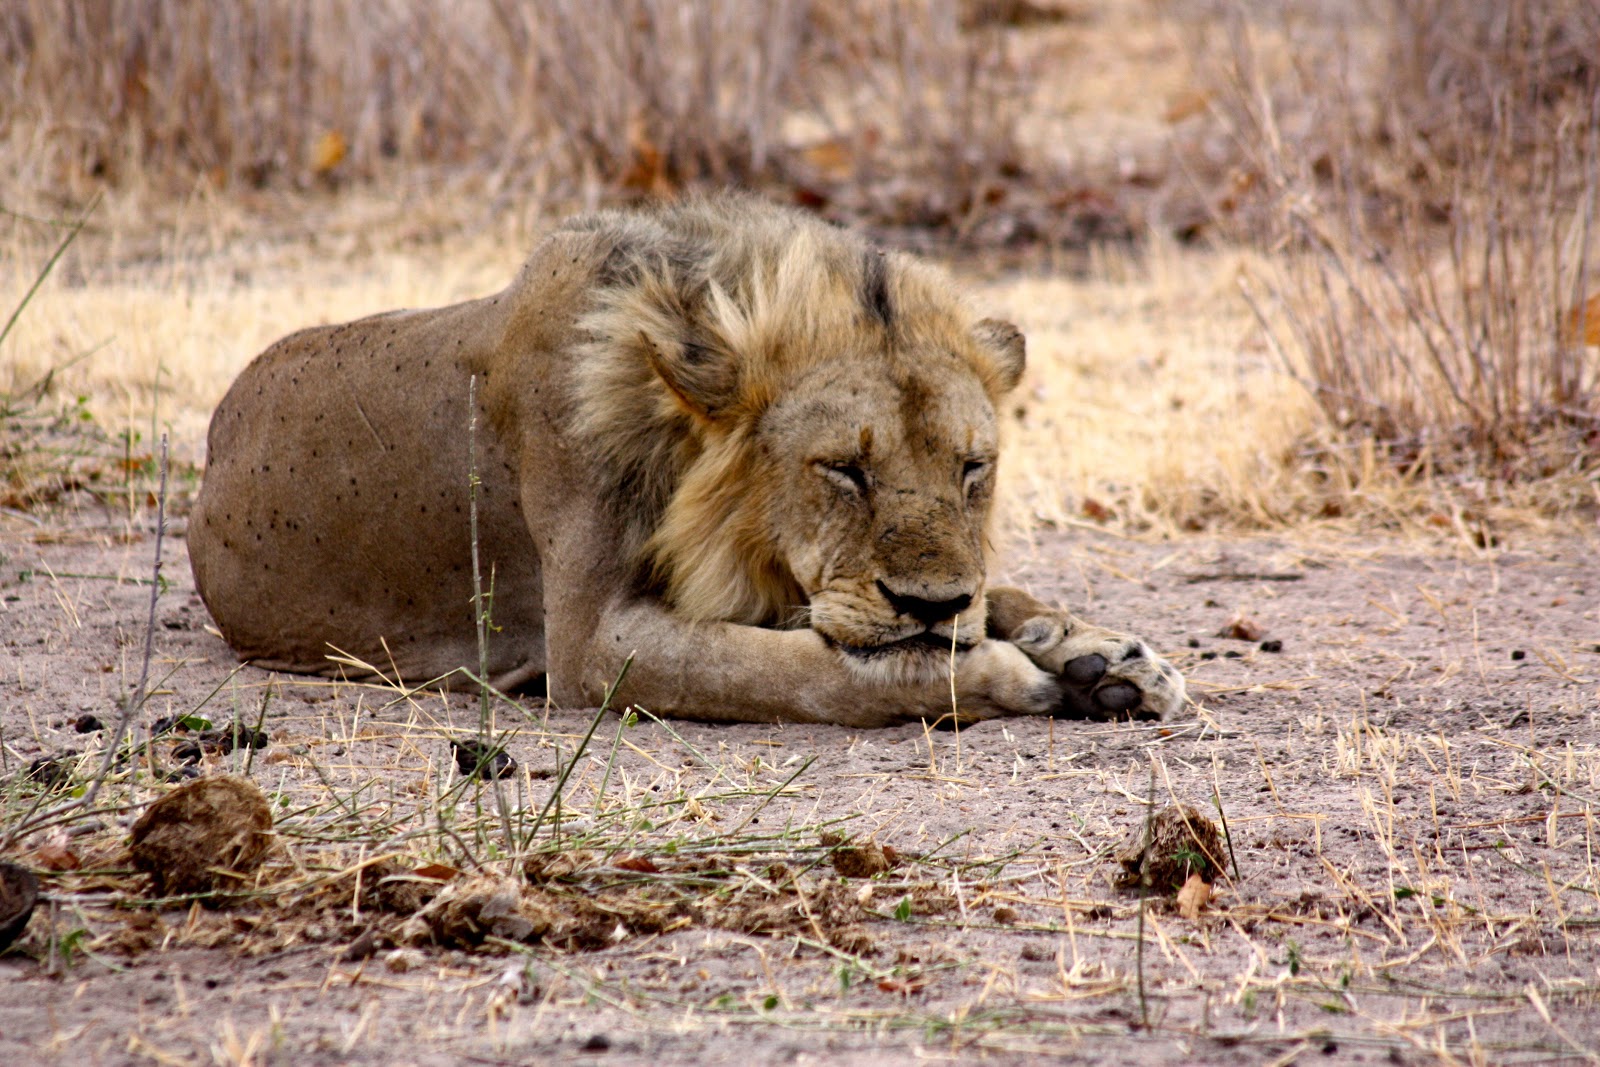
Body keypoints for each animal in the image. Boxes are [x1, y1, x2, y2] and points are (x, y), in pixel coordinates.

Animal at [188, 195, 1184, 727]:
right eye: (843, 470)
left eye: (973, 469)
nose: (932, 605)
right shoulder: (589, 645)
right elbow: (813, 673)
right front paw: (1011, 673)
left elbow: (1000, 595)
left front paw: (1106, 655)